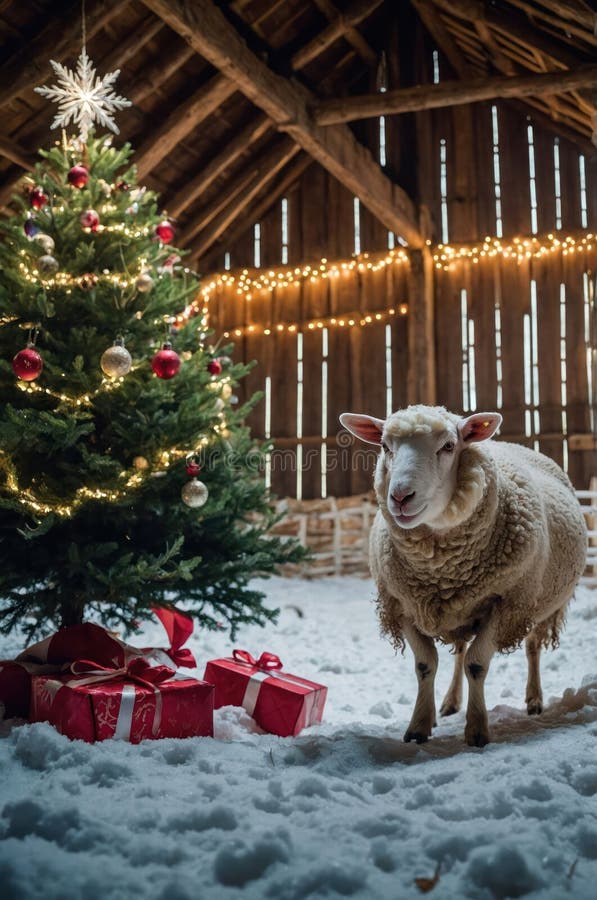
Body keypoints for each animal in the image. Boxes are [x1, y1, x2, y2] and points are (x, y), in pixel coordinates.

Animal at [339, 405, 587, 747]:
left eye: (448, 446)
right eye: (385, 447)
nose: (401, 497)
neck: (442, 569)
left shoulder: (505, 603)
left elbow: (477, 664)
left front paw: (478, 730)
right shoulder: (402, 604)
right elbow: (425, 664)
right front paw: (419, 725)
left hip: (538, 601)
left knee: (532, 647)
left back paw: (534, 699)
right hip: (459, 612)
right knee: (458, 652)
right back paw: (450, 702)